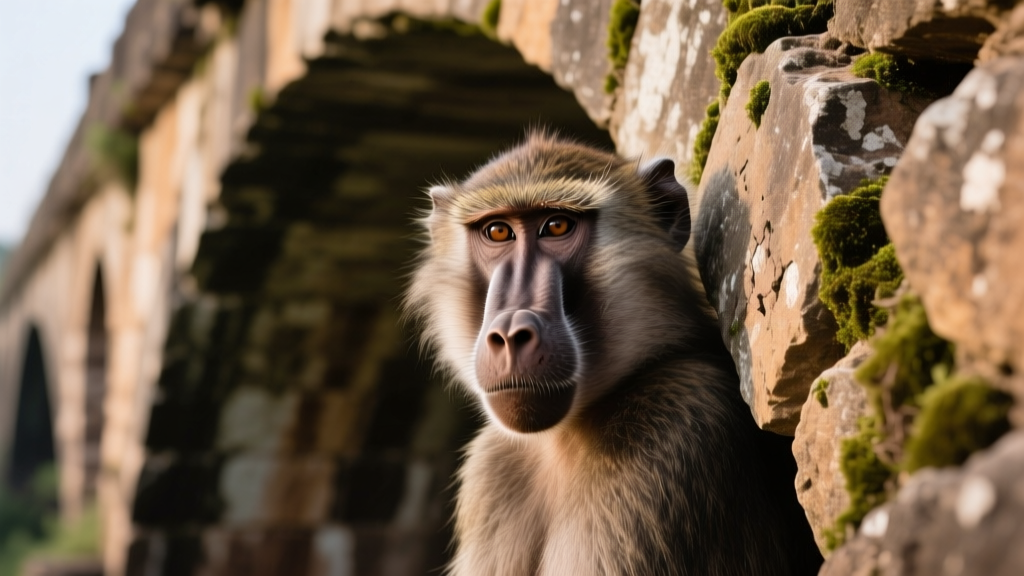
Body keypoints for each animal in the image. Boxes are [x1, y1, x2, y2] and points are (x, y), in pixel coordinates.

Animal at [405, 132, 822, 576]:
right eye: (498, 232)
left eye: (556, 226)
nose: (510, 333)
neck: (562, 440)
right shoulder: (490, 470)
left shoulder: (675, 434)